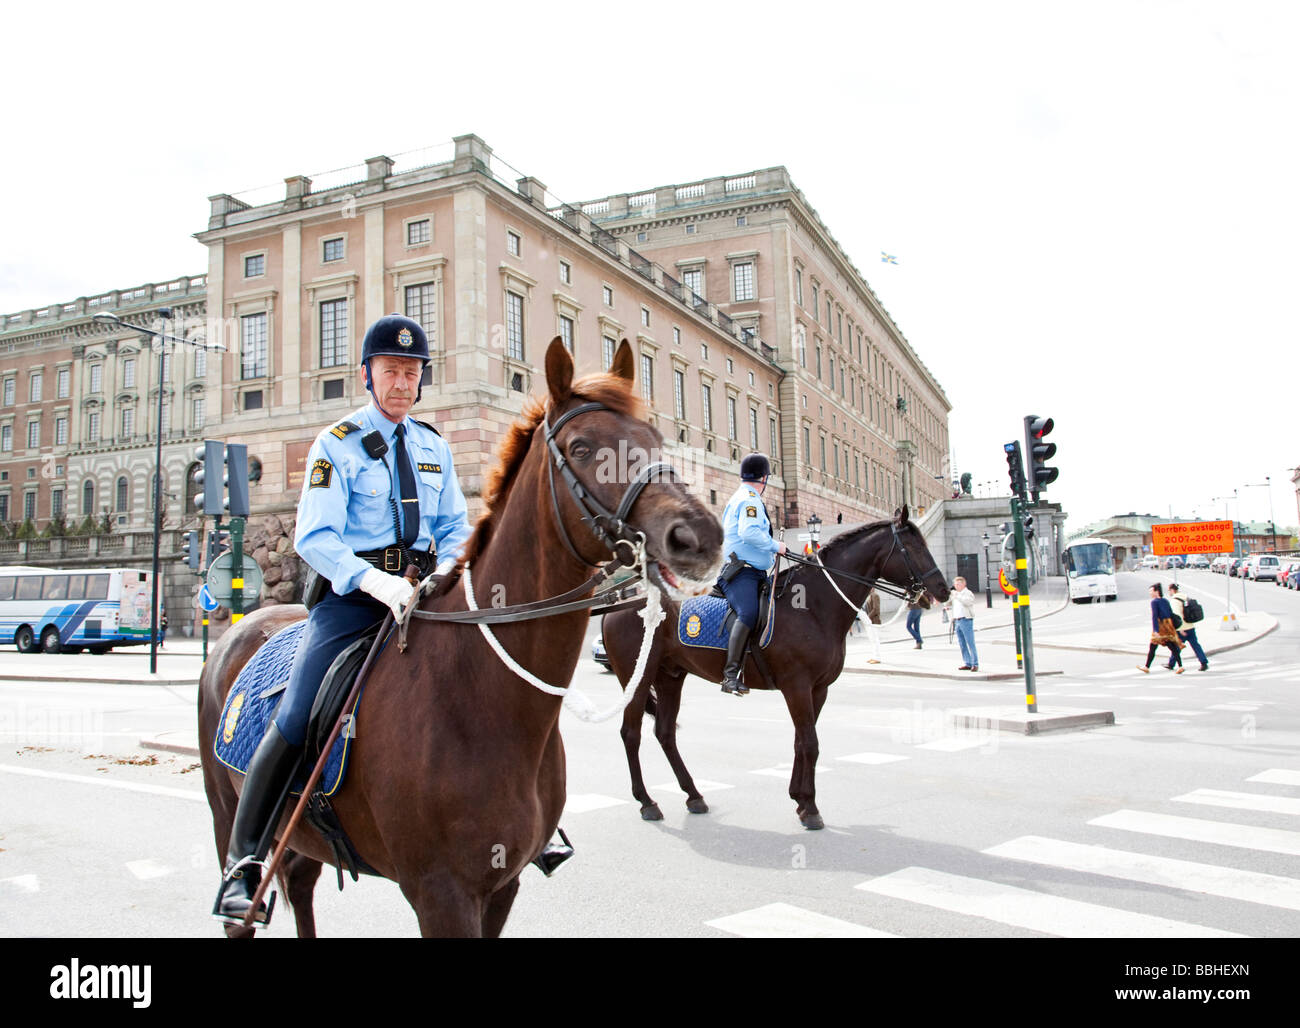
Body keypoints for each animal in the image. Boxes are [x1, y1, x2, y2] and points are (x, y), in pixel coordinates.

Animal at [198, 338, 724, 937]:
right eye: (583, 447)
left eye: (656, 440)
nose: (700, 536)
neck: (484, 698)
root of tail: (237, 634)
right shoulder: (440, 895)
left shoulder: (502, 886)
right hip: (224, 813)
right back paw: (239, 886)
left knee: (301, 885)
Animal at [601, 506, 949, 830]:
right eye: (914, 546)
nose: (944, 590)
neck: (814, 606)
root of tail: (619, 600)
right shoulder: (797, 686)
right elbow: (810, 743)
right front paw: (811, 808)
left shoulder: (817, 689)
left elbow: (802, 740)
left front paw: (800, 798)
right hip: (637, 678)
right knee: (630, 733)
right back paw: (647, 801)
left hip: (670, 676)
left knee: (665, 732)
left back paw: (694, 795)